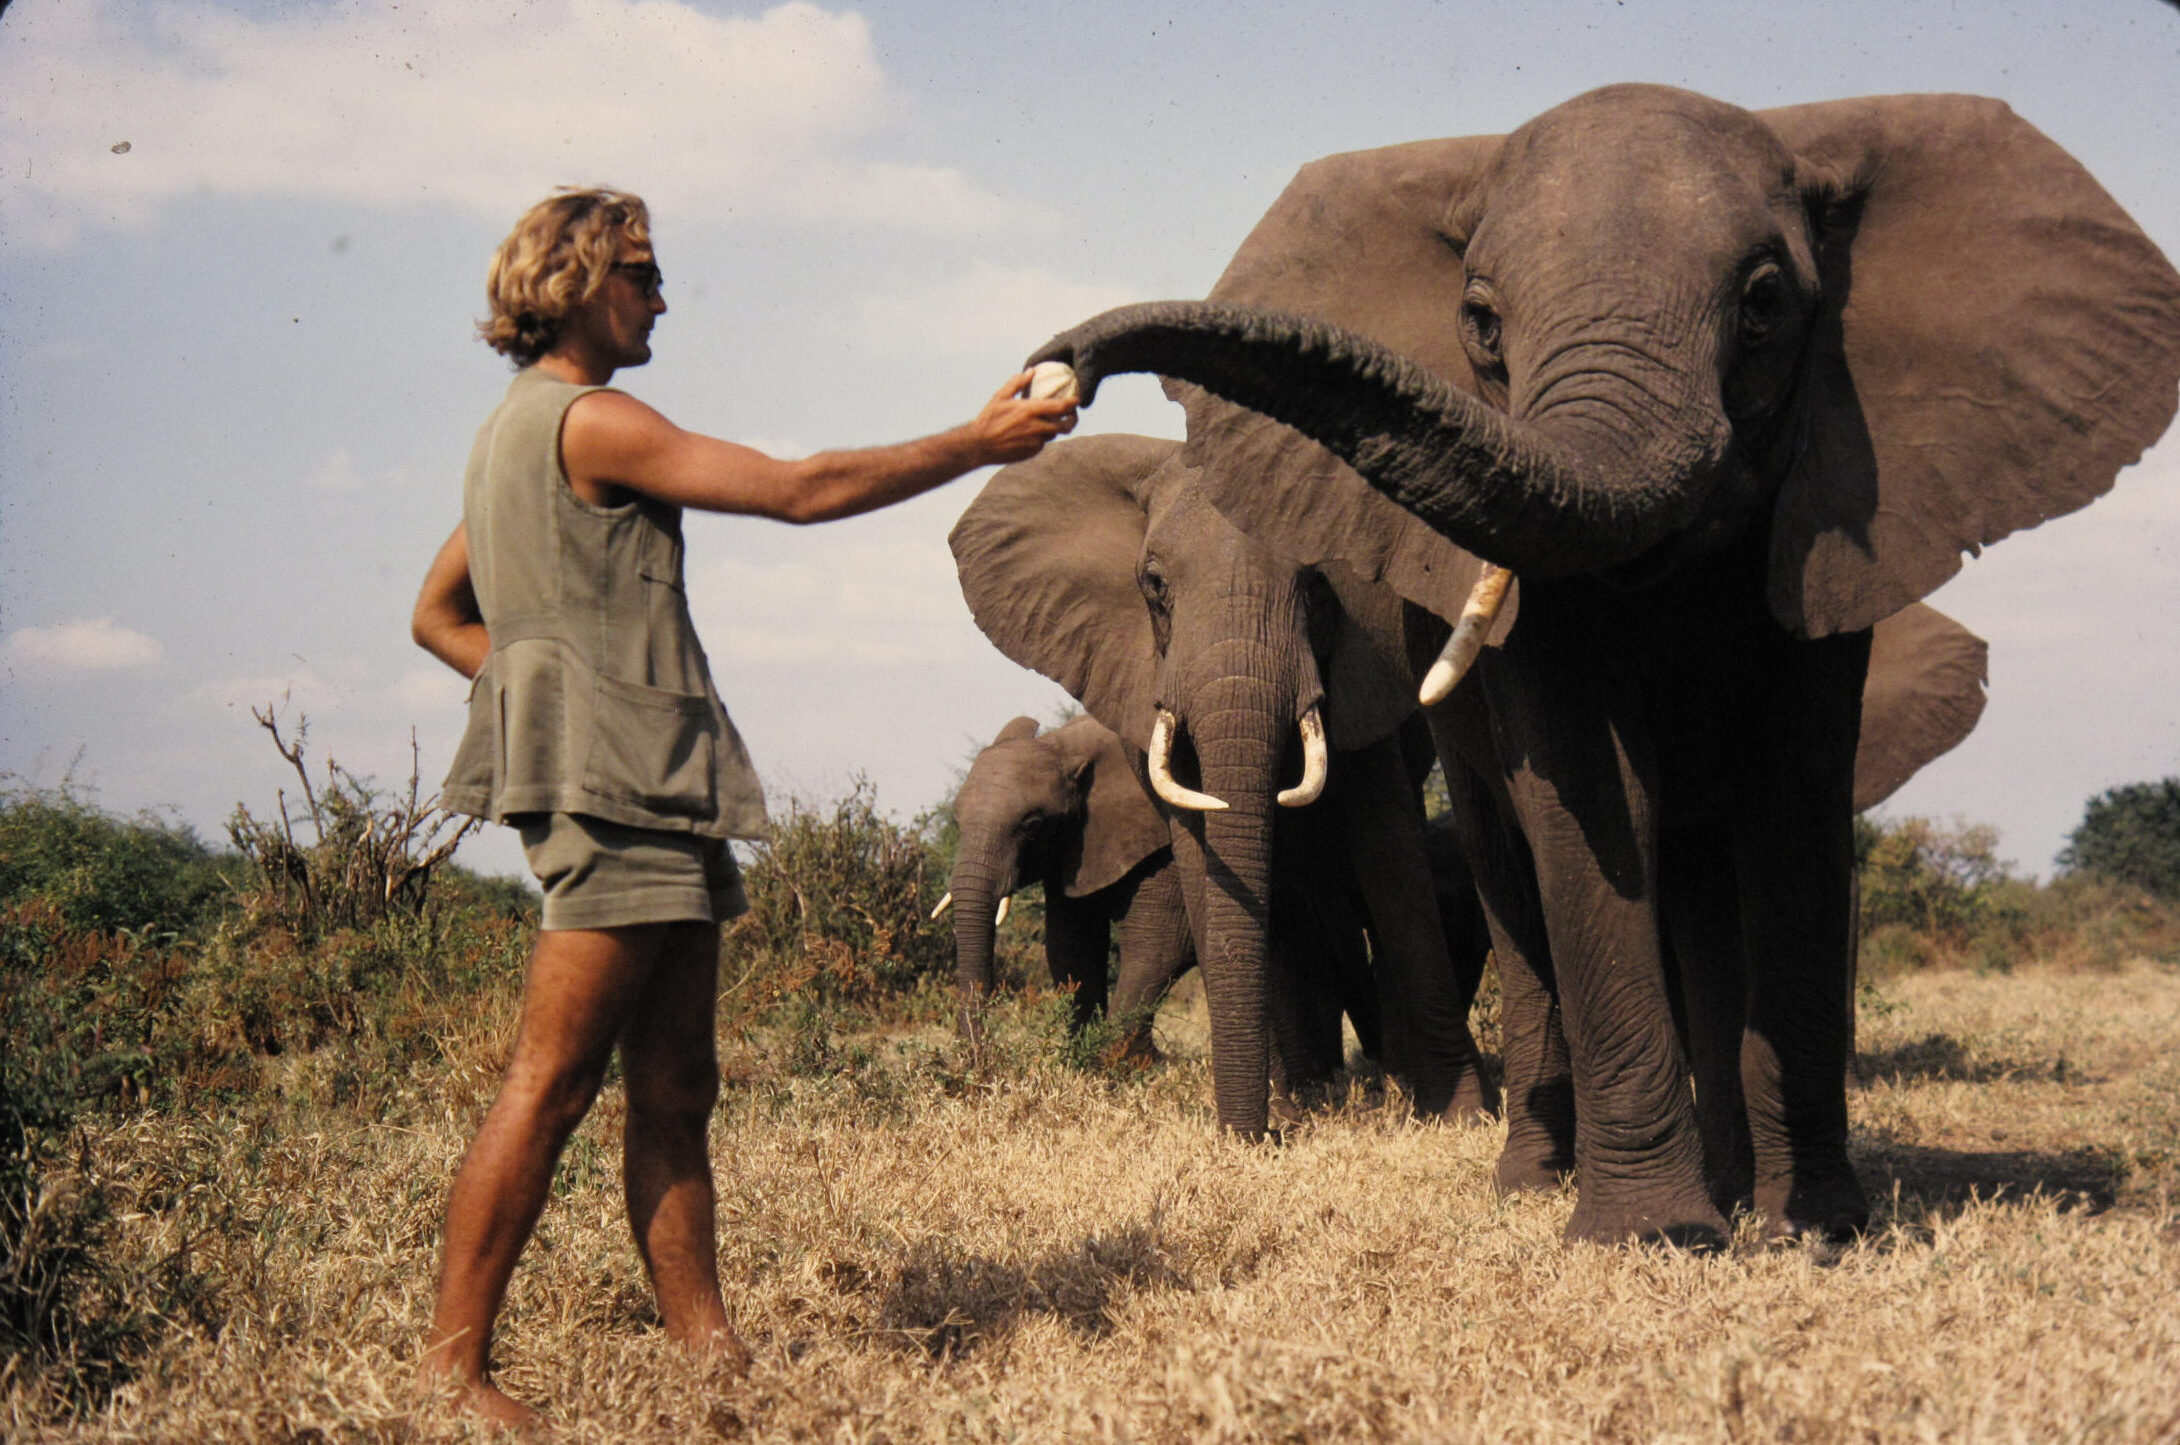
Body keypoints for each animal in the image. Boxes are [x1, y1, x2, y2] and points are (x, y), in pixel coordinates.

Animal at [939, 713, 1192, 1056]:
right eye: (956, 822)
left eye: (1033, 826)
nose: (978, 1056)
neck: (1064, 746)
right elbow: (1071, 943)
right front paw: (1083, 1056)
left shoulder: (1165, 841)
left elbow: (1160, 942)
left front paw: (1133, 1061)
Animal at [1028, 84, 2180, 1243]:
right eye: (1480, 322)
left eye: (1765, 303)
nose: (1058, 369)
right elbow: (1590, 791)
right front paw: (1652, 1235)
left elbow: (1793, 793)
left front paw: (1811, 1230)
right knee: (1511, 865)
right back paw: (1540, 1179)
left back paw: (1733, 1185)